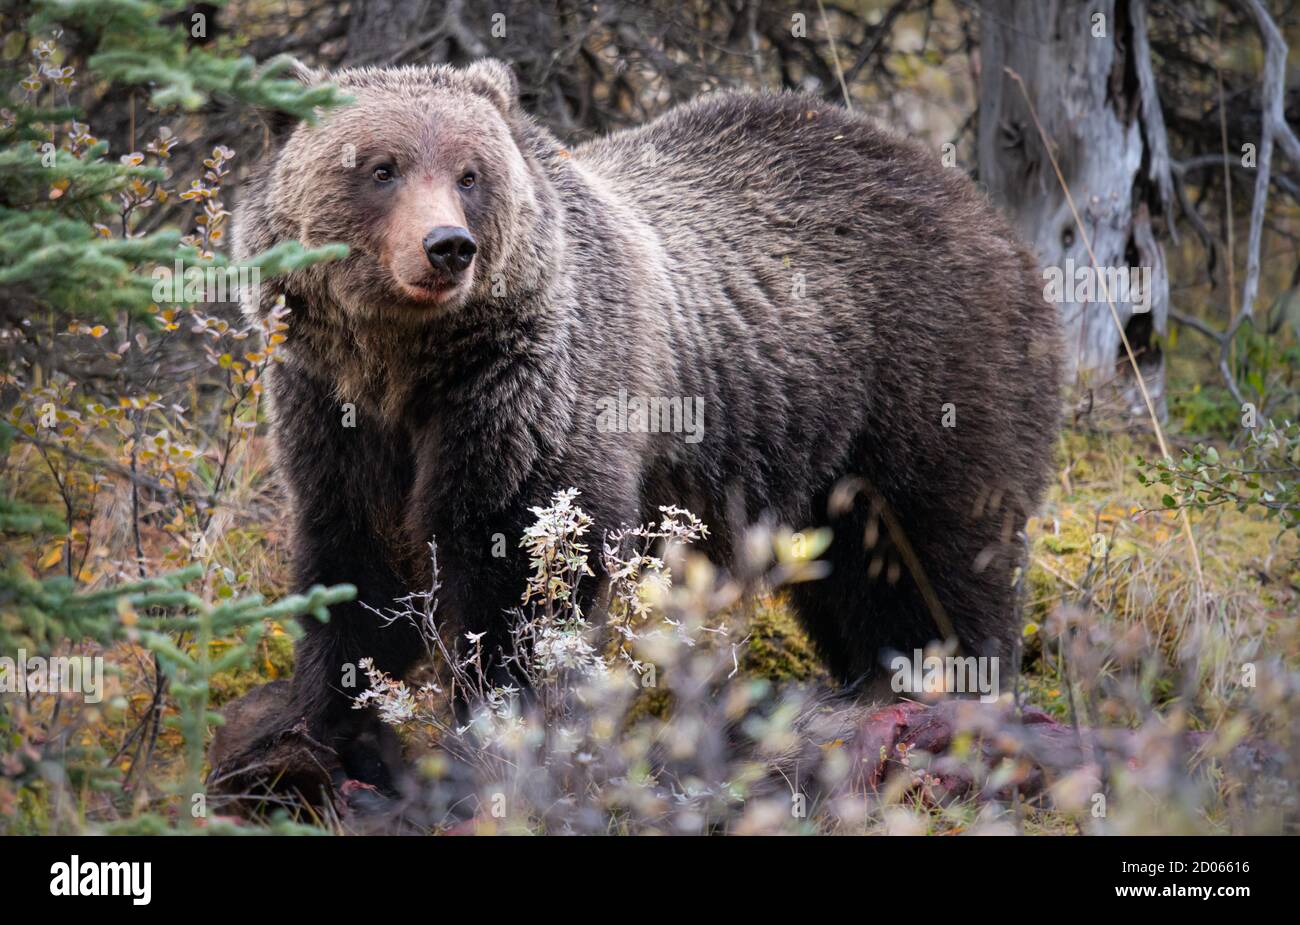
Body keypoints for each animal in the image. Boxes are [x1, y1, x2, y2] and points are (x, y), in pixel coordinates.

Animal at [229, 58, 1061, 791]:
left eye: (469, 173)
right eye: (381, 167)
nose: (447, 246)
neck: (408, 366)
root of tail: (971, 198)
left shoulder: (531, 393)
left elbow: (526, 573)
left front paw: (499, 735)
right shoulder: (335, 419)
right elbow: (356, 573)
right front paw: (324, 734)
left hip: (930, 379)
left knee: (934, 557)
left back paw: (951, 693)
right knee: (854, 584)